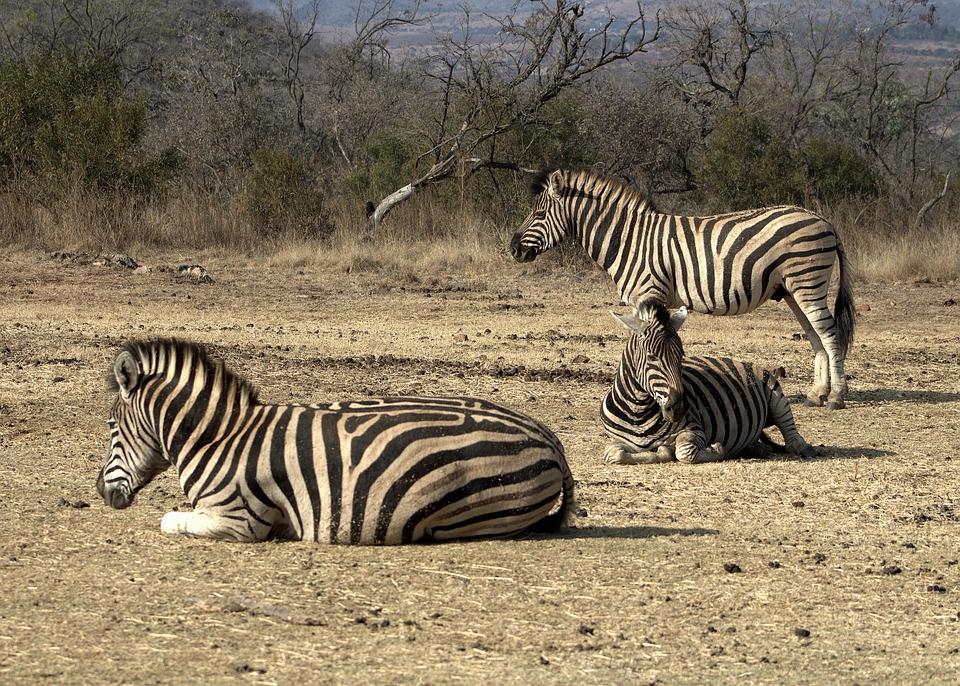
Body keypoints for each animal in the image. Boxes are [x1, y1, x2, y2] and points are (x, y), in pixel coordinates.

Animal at [96, 338, 574, 544]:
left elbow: (169, 519)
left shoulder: (240, 519)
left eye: (111, 426)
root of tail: (551, 440)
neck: (219, 438)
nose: (101, 491)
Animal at [509, 169, 856, 410]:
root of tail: (822, 219)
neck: (628, 239)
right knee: (815, 335)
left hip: (808, 281)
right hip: (793, 289)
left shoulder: (646, 293)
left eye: (538, 214)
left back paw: (836, 396)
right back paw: (816, 393)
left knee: (829, 334)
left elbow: (646, 341)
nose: (513, 248)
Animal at [601, 303, 818, 464]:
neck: (637, 412)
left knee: (791, 437)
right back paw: (757, 448)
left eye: (681, 356)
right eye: (652, 357)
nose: (679, 409)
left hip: (776, 396)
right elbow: (613, 454)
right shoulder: (616, 441)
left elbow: (684, 452)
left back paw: (805, 449)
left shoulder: (694, 430)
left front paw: (716, 448)